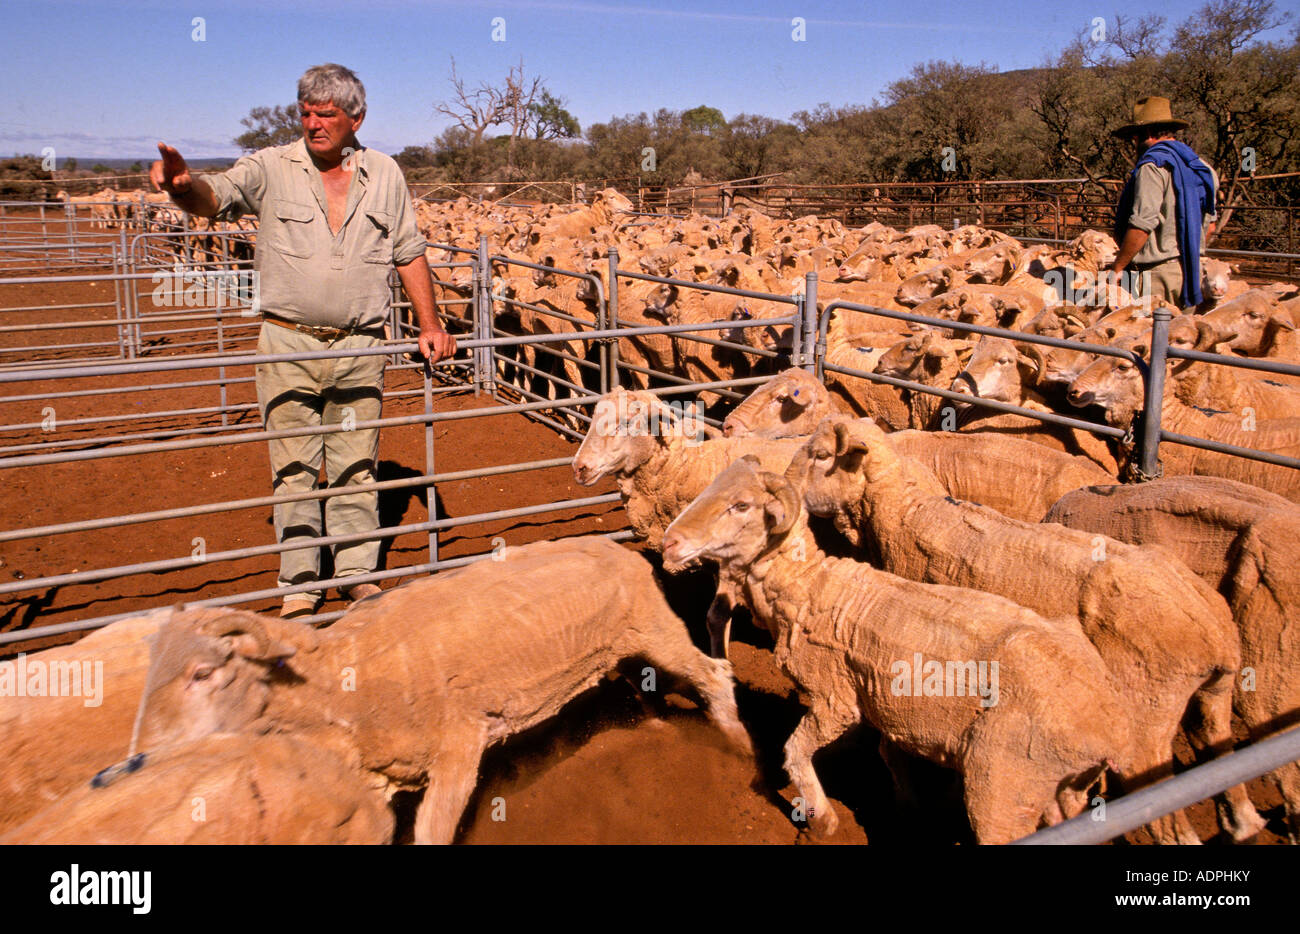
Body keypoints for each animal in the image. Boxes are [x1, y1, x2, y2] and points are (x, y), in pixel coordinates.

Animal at [126, 537, 751, 845]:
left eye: (202, 673)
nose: (137, 759)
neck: (340, 684)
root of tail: (621, 548)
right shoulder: (377, 779)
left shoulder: (459, 745)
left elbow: (432, 833)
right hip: (620, 648)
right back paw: (655, 725)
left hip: (652, 627)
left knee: (713, 674)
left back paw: (740, 749)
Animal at [660, 457, 1131, 844]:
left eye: (740, 506)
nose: (669, 542)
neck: (810, 588)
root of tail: (1103, 726)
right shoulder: (884, 703)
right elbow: (888, 753)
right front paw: (908, 806)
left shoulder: (836, 700)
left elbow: (795, 751)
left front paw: (823, 820)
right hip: (1060, 788)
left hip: (1003, 787)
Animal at [787, 415, 1265, 844]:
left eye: (822, 455)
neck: (905, 512)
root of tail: (1207, 623)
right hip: (1215, 693)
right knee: (1219, 747)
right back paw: (1245, 823)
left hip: (1147, 717)